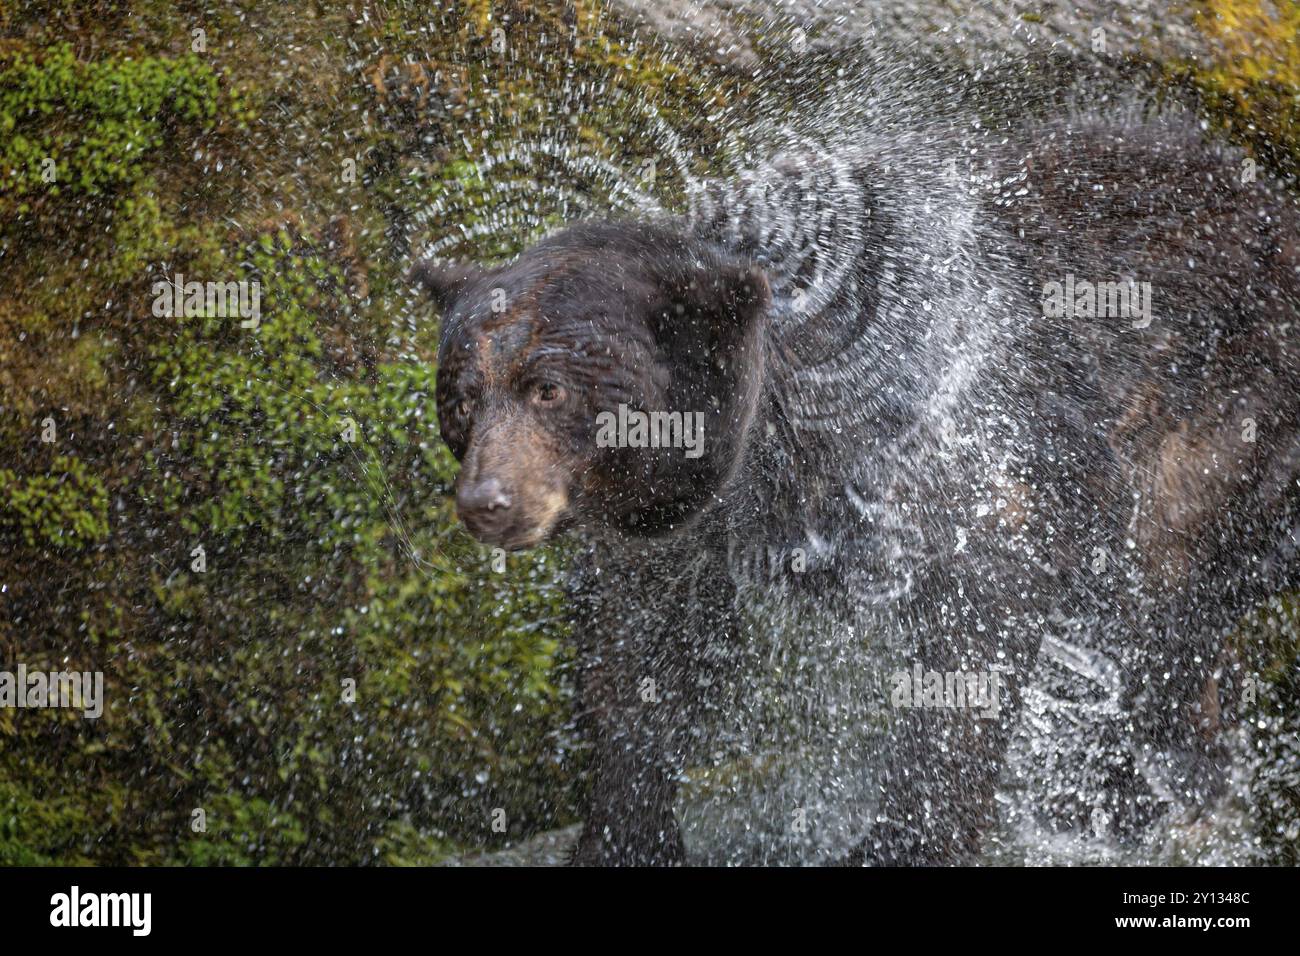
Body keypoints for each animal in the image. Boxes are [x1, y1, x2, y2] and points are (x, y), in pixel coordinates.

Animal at [414, 106, 1300, 865]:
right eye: (461, 397)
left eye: (547, 388)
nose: (488, 501)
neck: (769, 434)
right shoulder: (685, 533)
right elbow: (642, 663)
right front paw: (626, 833)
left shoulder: (944, 443)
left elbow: (976, 625)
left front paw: (899, 839)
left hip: (1216, 422)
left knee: (1156, 611)